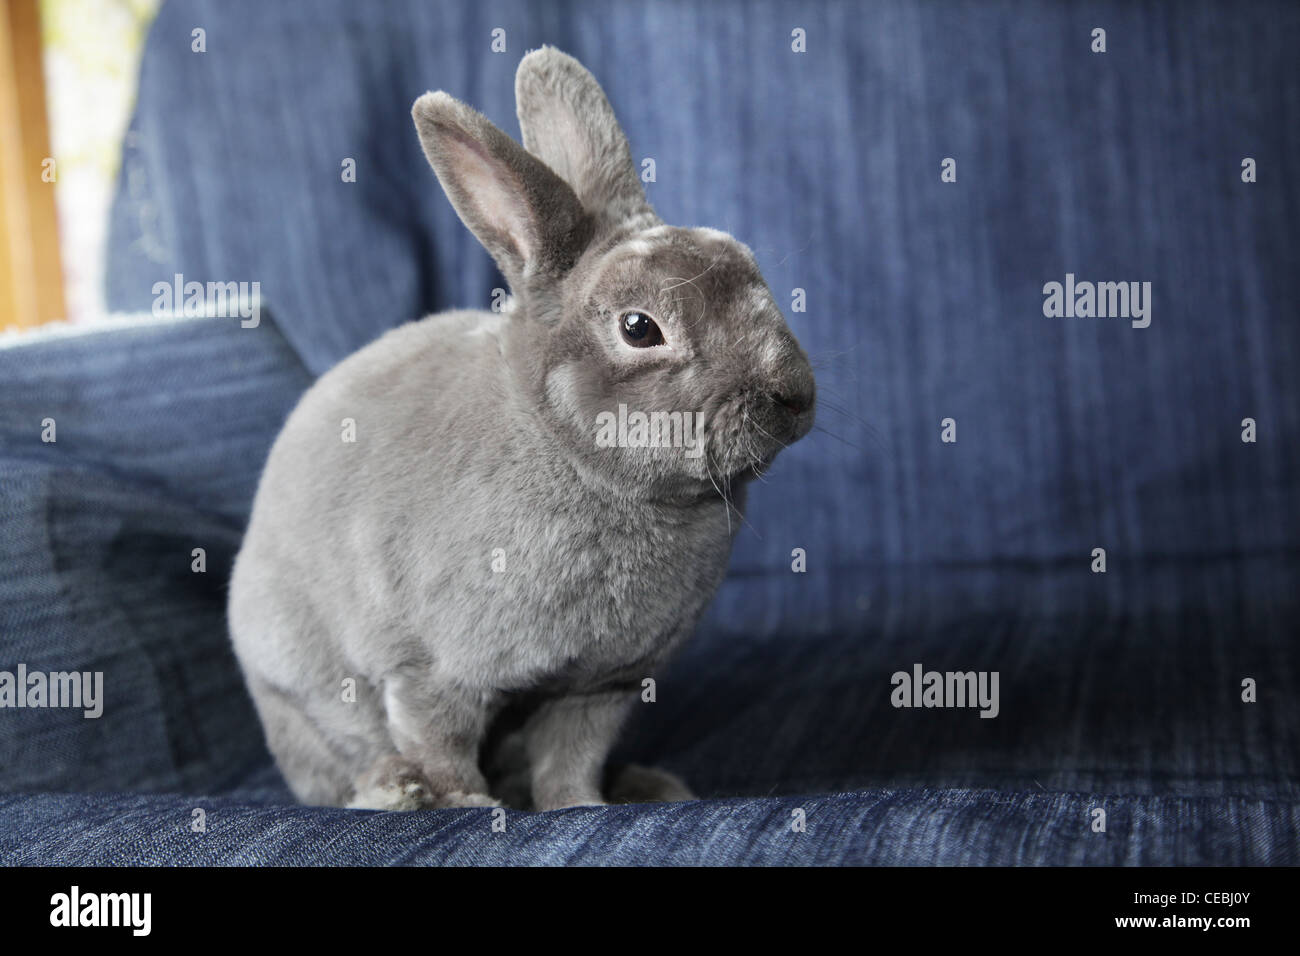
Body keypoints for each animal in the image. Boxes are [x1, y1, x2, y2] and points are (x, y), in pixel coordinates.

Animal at [227, 46, 815, 812]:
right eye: (639, 328)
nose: (794, 394)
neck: (572, 453)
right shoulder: (433, 671)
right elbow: (441, 740)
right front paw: (467, 804)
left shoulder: (599, 690)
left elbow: (571, 760)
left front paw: (582, 807)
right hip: (309, 698)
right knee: (343, 770)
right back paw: (396, 791)